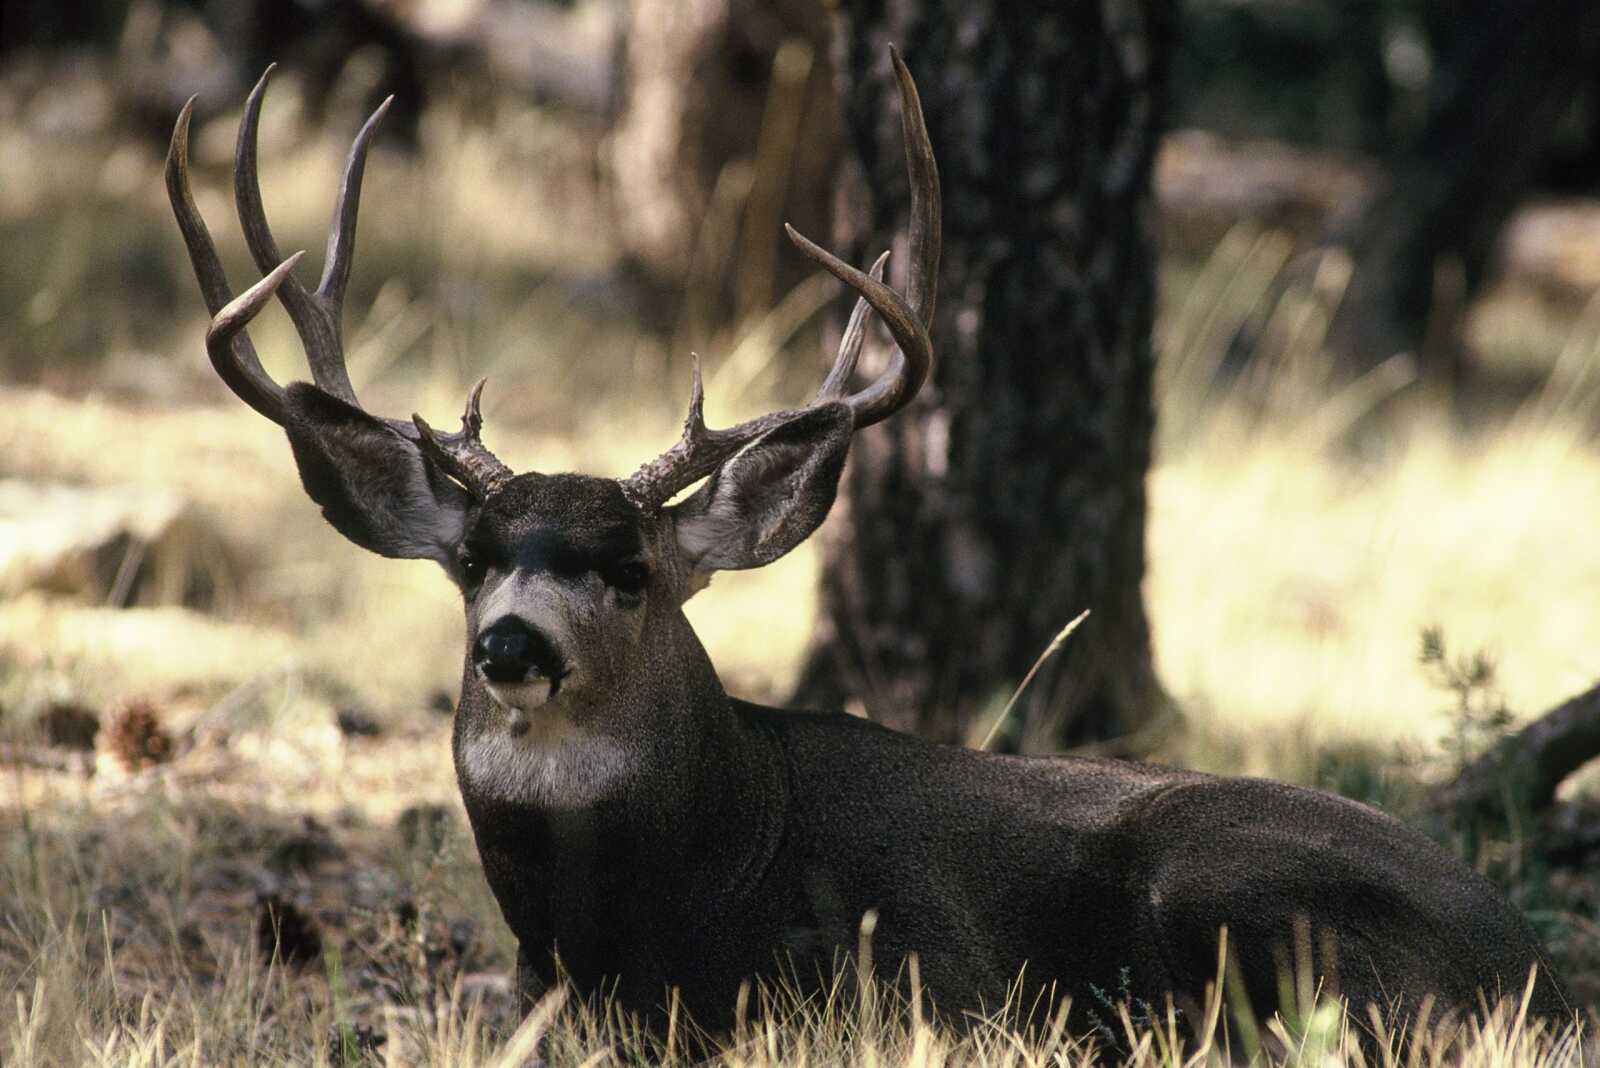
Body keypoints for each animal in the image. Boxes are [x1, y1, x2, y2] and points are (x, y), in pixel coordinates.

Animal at [166, 51, 1572, 1044]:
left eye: (628, 571)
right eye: (471, 560)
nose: (513, 646)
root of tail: (1536, 968)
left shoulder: (909, 977)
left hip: (1223, 883)